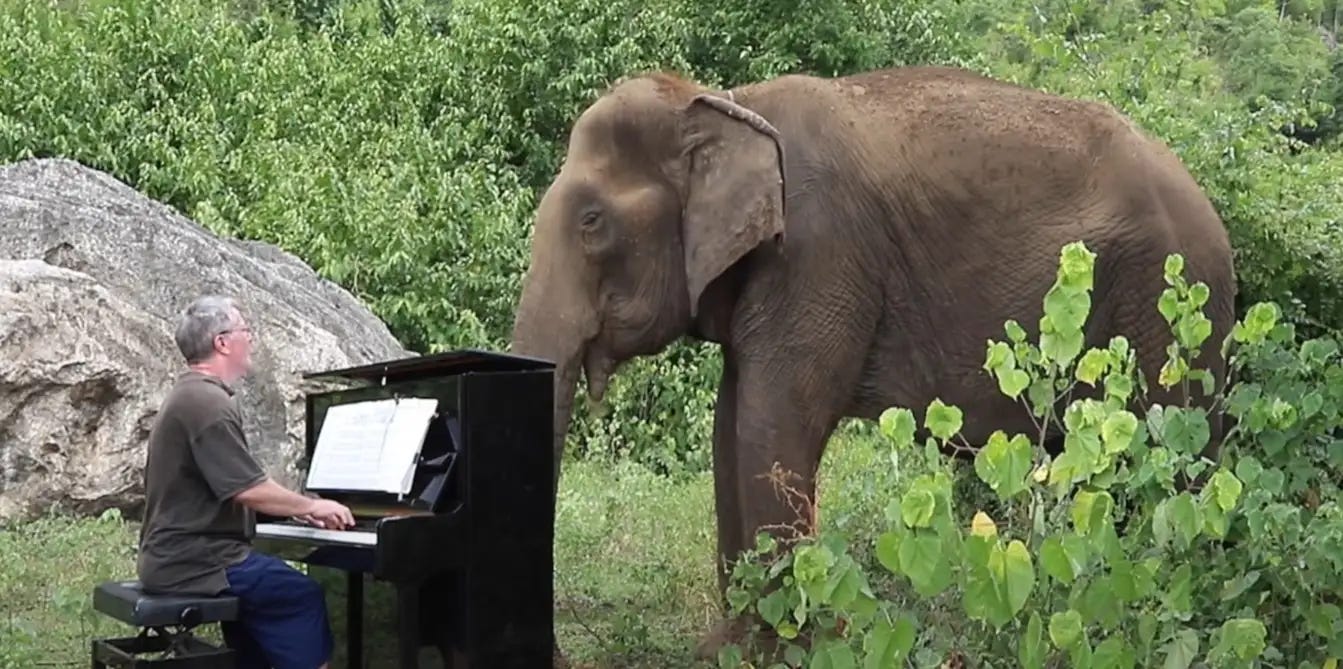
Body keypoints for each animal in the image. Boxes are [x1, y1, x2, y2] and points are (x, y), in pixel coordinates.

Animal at [508, 64, 1237, 663]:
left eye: (592, 222)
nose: (562, 655)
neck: (723, 102)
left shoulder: (817, 253)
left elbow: (774, 425)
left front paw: (783, 652)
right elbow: (730, 426)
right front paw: (728, 647)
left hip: (1165, 306)